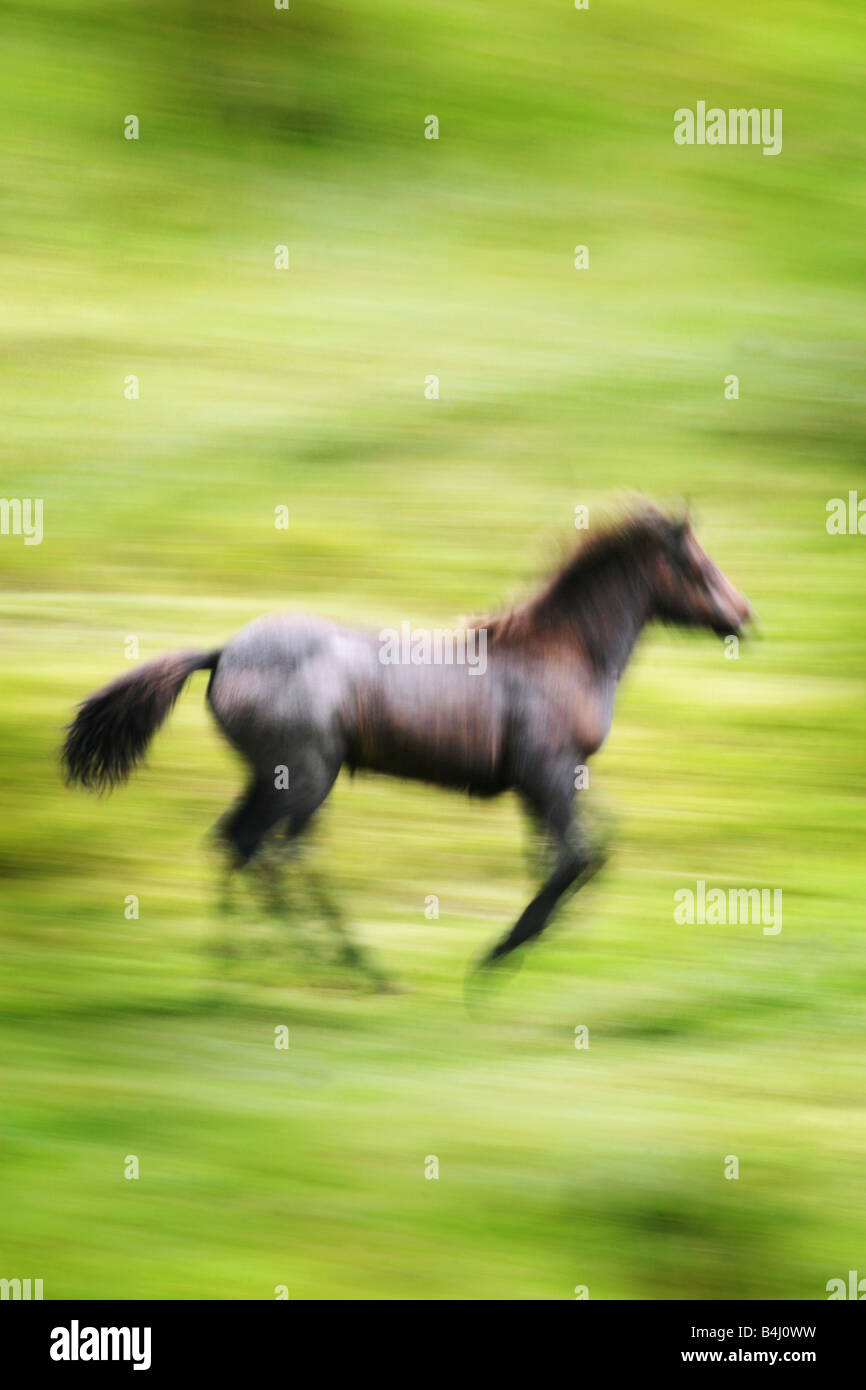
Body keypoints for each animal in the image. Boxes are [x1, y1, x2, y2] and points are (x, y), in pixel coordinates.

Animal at [63, 506, 752, 970]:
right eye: (696, 564)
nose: (744, 615)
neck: (560, 653)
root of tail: (223, 653)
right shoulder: (549, 772)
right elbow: (574, 858)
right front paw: (499, 956)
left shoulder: (551, 780)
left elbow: (583, 853)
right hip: (308, 775)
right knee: (279, 853)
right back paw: (348, 970)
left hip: (271, 776)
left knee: (238, 844)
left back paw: (233, 967)